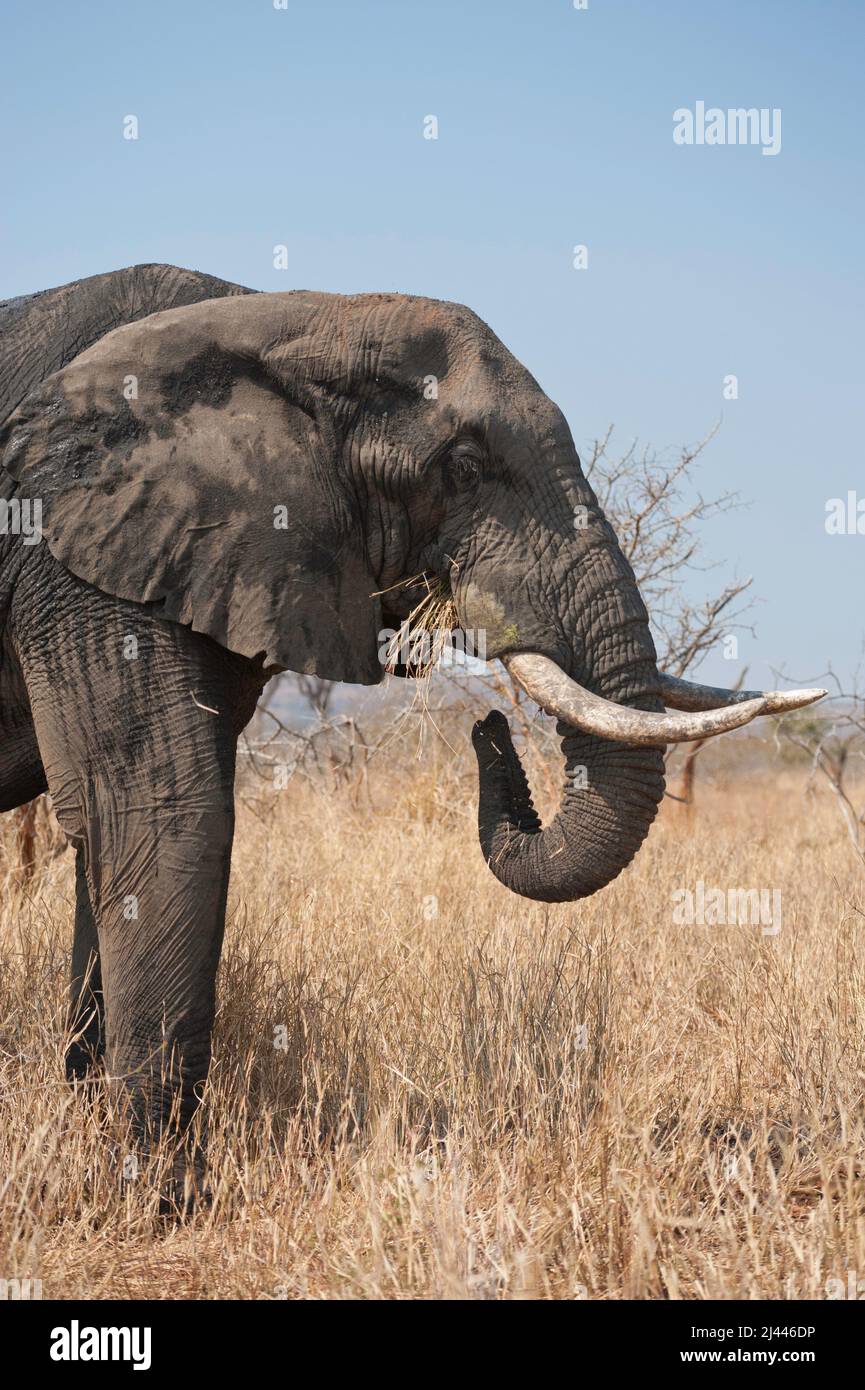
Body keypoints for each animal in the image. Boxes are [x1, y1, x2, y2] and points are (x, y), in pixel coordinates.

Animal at [0, 264, 824, 1208]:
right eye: (462, 468)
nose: (489, 727)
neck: (282, 317)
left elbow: (117, 842)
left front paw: (97, 1134)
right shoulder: (70, 557)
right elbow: (159, 812)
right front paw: (161, 1196)